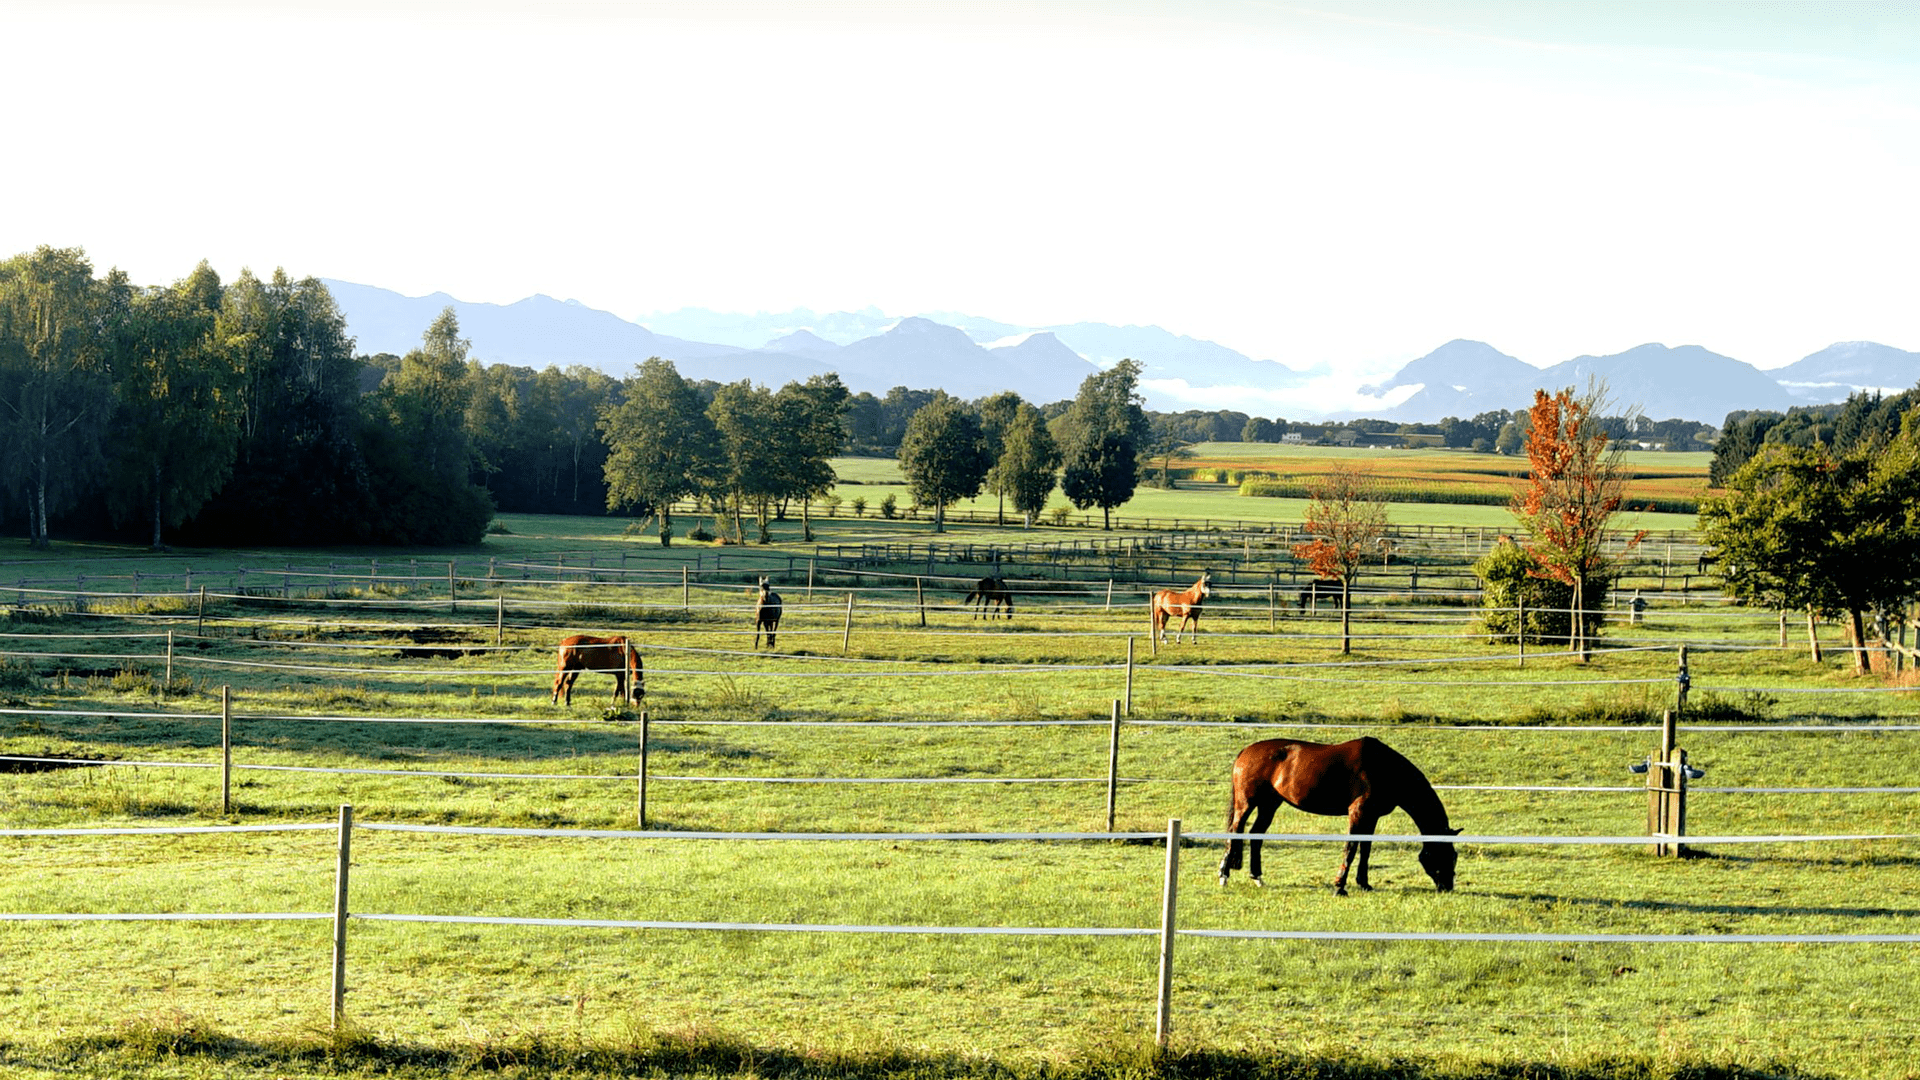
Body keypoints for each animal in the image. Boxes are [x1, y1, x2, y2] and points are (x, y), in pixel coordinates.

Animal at [1217, 736, 1460, 895]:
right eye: (1447, 854)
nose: (1447, 887)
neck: (1384, 768)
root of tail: (1246, 751)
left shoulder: (1371, 817)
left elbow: (1365, 850)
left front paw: (1364, 884)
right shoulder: (1358, 814)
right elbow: (1350, 849)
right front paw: (1339, 887)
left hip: (1269, 805)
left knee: (1256, 835)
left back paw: (1257, 877)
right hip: (1246, 804)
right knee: (1235, 831)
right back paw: (1224, 875)